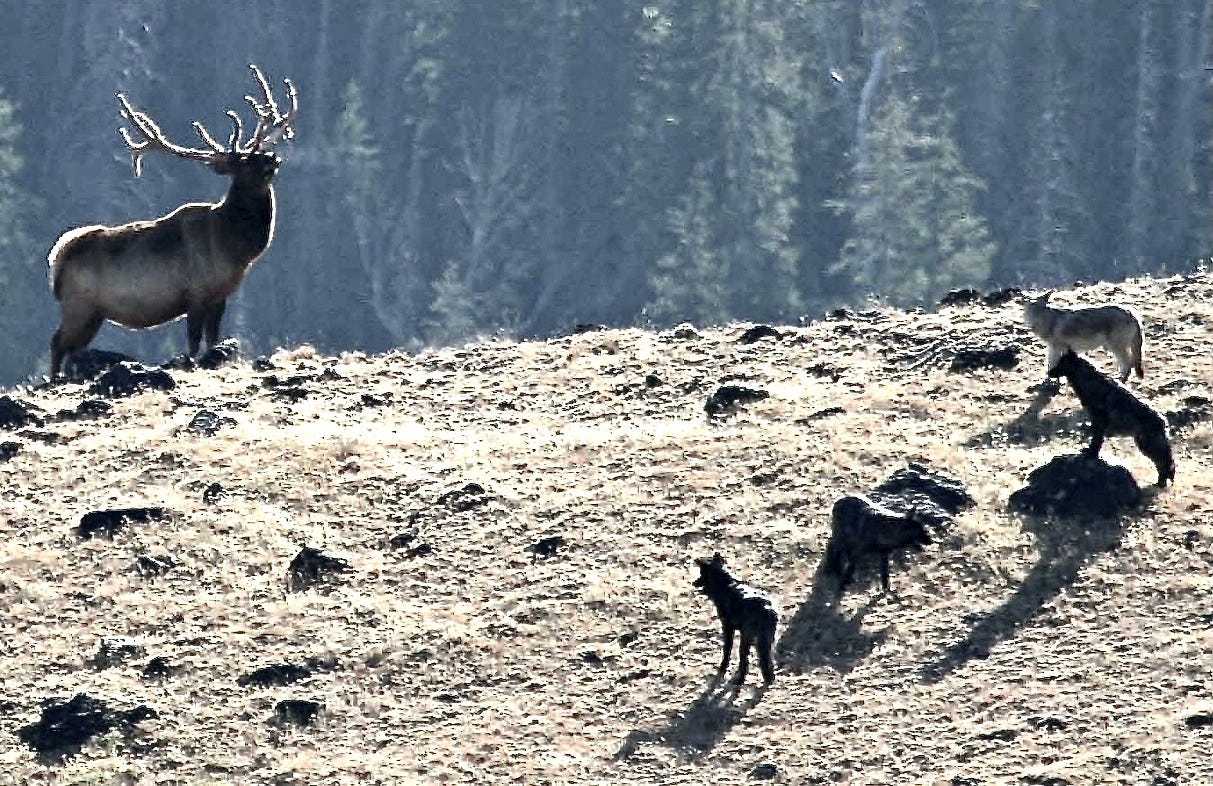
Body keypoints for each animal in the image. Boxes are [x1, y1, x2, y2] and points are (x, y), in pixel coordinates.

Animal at [692, 553, 778, 686]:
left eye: (701, 573)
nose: (693, 583)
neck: (726, 585)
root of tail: (766, 608)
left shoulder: (727, 628)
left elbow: (727, 650)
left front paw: (722, 668)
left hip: (747, 637)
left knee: (745, 659)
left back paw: (740, 680)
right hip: (766, 639)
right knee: (767, 659)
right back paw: (768, 679)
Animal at [1047, 350, 1175, 486]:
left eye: (1061, 363)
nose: (1048, 373)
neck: (1088, 379)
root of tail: (1163, 421)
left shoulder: (1098, 422)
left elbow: (1096, 441)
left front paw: (1091, 454)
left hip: (1146, 445)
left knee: (1164, 463)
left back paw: (1160, 483)